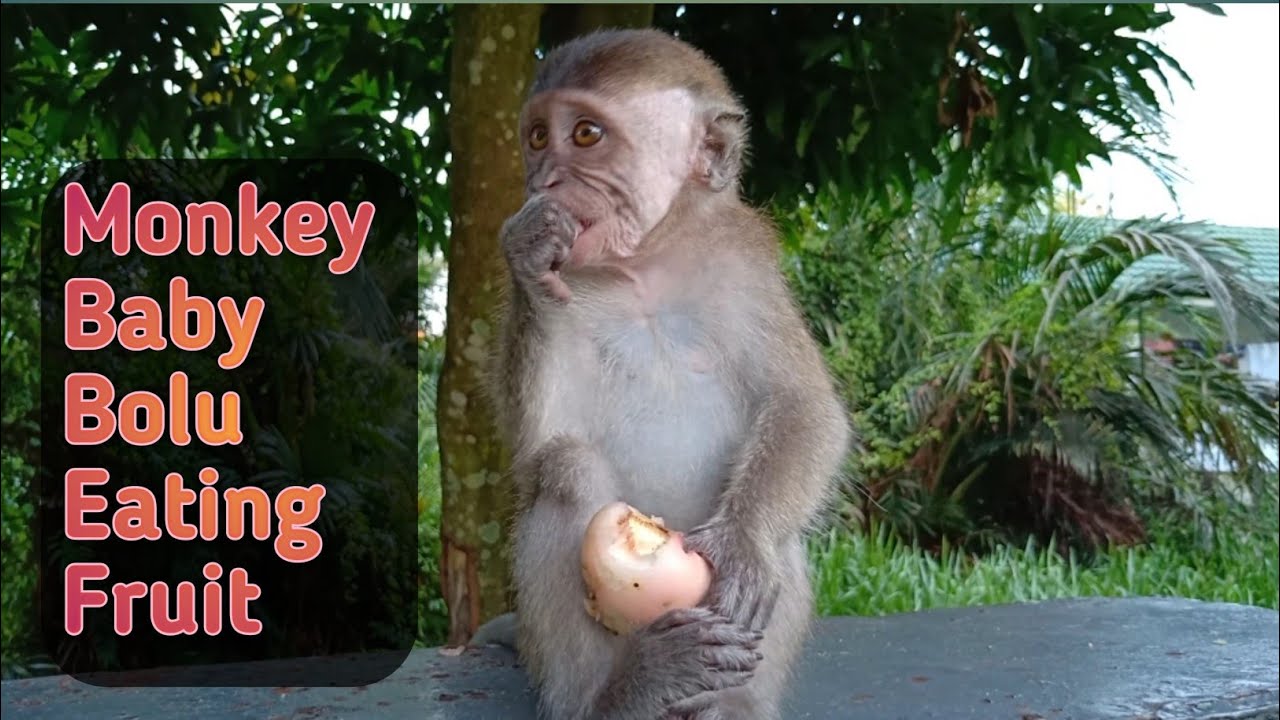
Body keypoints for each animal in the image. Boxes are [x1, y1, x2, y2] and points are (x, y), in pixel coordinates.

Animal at [486, 28, 851, 720]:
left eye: (586, 135)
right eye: (539, 137)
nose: (544, 179)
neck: (644, 268)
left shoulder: (745, 266)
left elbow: (802, 406)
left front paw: (744, 545)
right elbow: (540, 445)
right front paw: (529, 246)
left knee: (783, 537)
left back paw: (731, 699)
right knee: (567, 471)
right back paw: (631, 691)